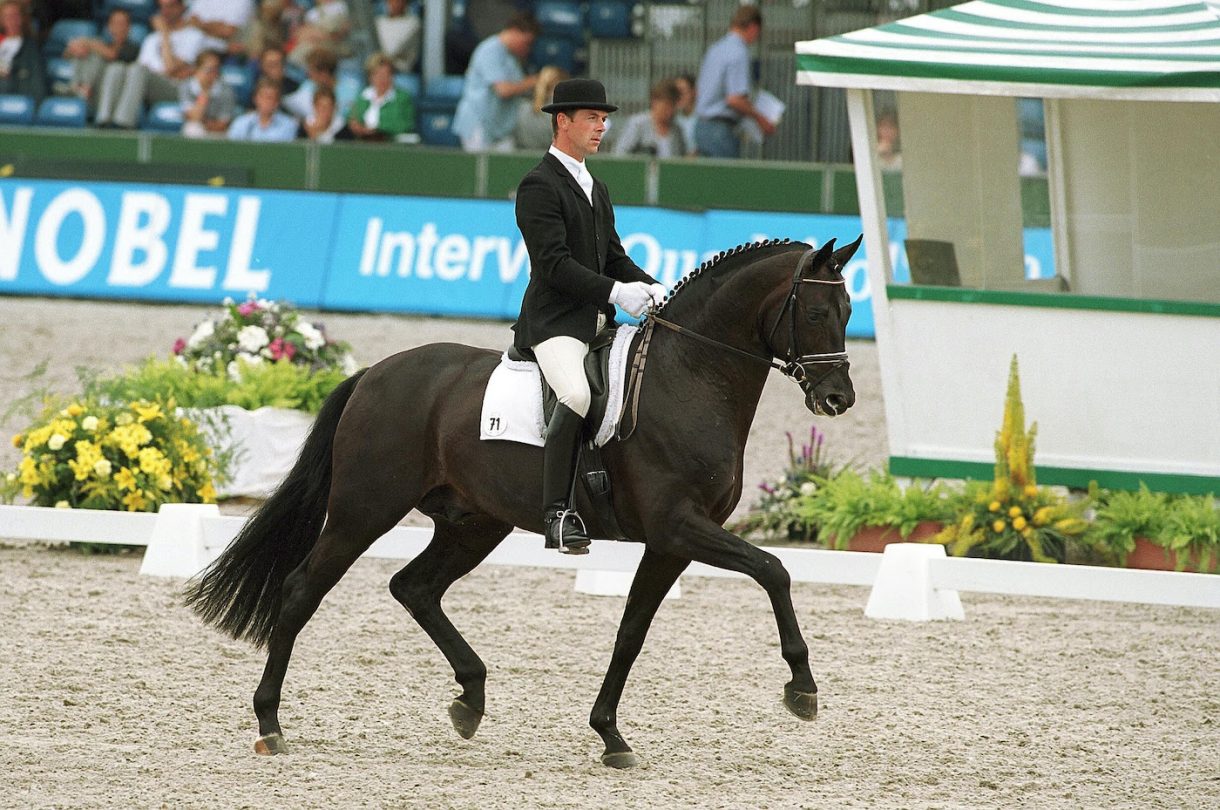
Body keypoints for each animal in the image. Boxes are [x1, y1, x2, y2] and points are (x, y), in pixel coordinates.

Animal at [185, 234, 862, 768]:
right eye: (815, 310)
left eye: (850, 309)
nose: (838, 399)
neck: (689, 377)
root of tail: (375, 373)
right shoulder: (679, 527)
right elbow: (773, 569)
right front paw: (802, 688)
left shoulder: (671, 542)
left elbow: (631, 631)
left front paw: (610, 735)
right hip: (363, 511)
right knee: (303, 589)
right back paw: (270, 724)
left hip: (473, 524)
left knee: (414, 587)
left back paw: (470, 698)